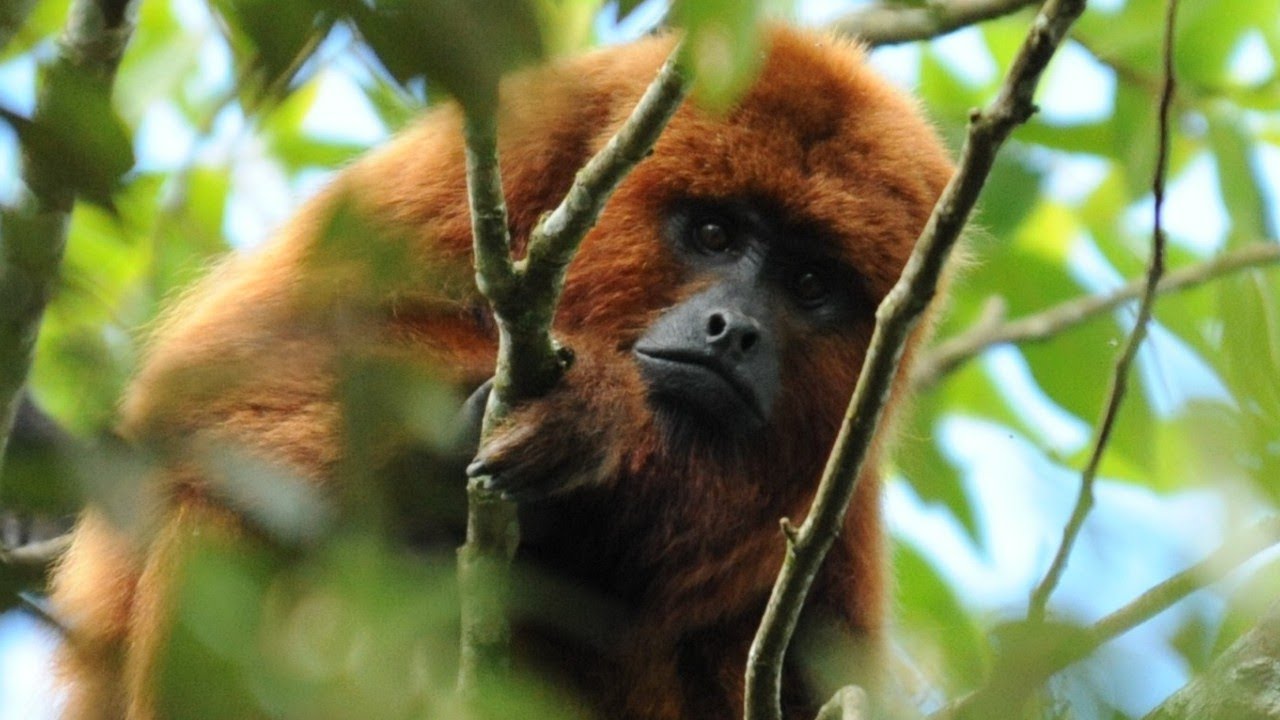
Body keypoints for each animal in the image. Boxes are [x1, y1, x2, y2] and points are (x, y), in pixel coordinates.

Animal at [48, 25, 953, 720]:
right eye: (713, 233)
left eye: (810, 284)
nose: (735, 332)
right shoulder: (520, 141)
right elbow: (229, 371)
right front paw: (579, 411)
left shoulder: (834, 546)